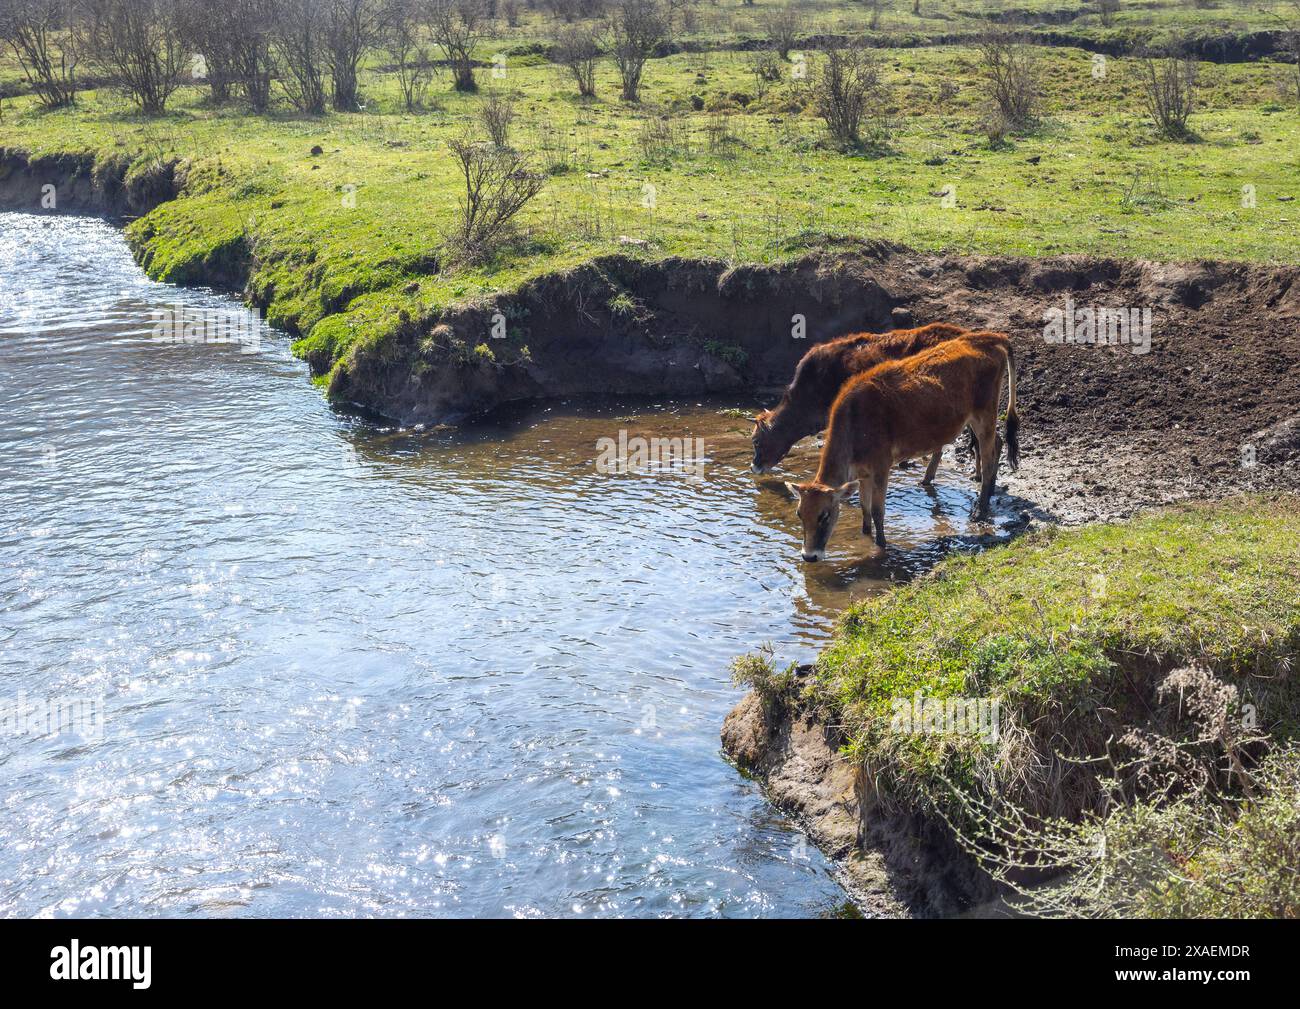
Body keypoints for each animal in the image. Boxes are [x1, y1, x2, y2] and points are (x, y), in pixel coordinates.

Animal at [786, 331, 1020, 561]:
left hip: (984, 413)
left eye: (824, 515)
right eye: (799, 514)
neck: (855, 421)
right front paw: (864, 536)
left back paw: (980, 510)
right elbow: (864, 508)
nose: (809, 556)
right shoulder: (863, 473)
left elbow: (878, 510)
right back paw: (990, 493)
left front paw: (881, 546)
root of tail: (989, 336)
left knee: (987, 458)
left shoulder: (882, 466)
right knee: (997, 443)